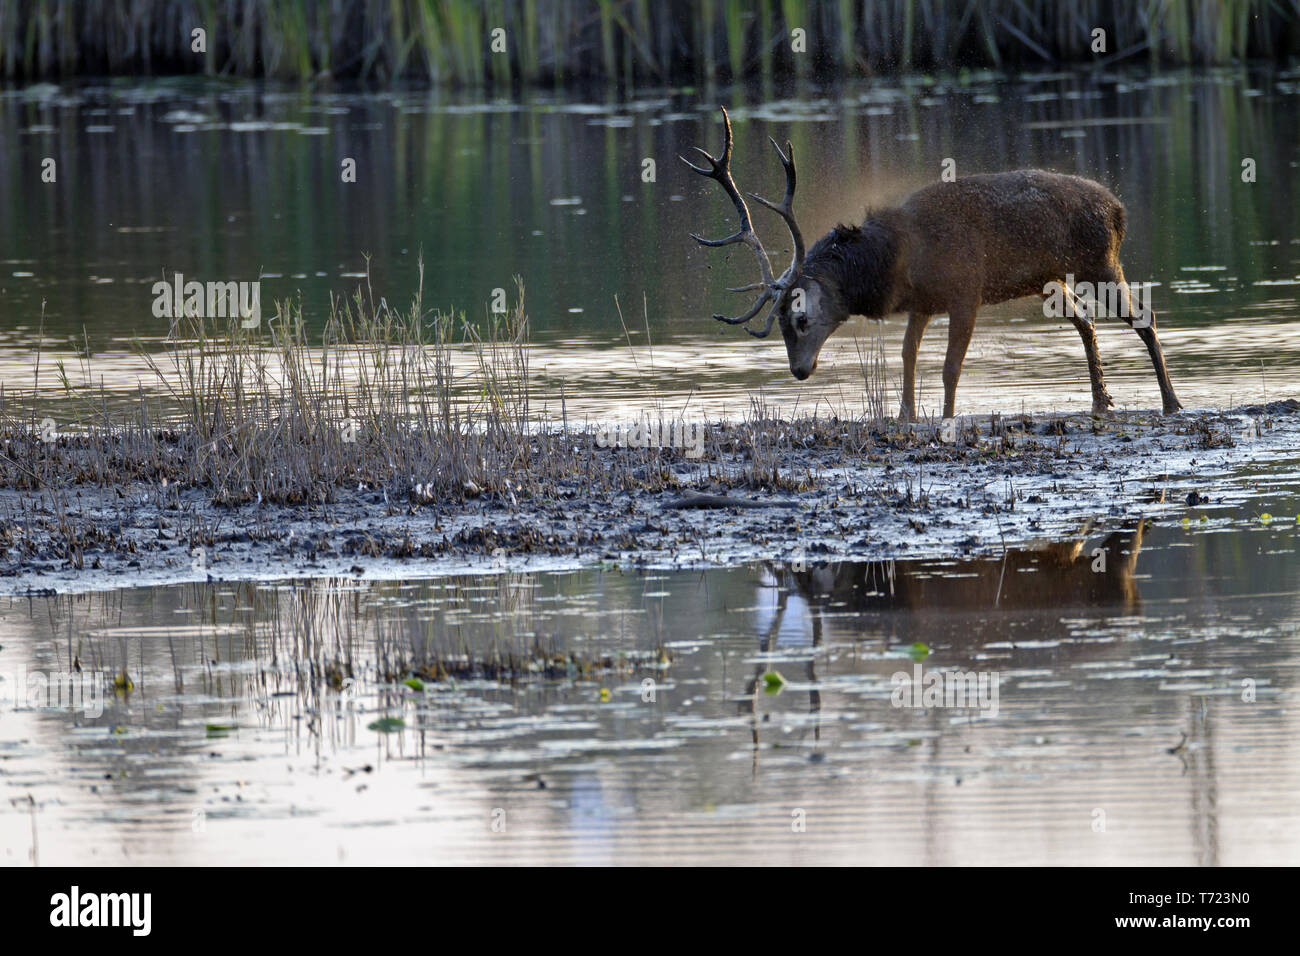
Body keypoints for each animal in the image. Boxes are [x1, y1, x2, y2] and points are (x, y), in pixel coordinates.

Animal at [680, 107, 1183, 421]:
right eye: (780, 323)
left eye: (801, 319)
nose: (799, 371)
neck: (895, 261)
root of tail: (1118, 208)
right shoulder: (922, 304)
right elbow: (907, 357)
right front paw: (905, 415)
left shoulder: (965, 292)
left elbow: (949, 367)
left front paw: (946, 417)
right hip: (1051, 280)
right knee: (1087, 323)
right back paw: (1101, 402)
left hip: (1101, 262)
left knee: (1145, 317)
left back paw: (1171, 402)